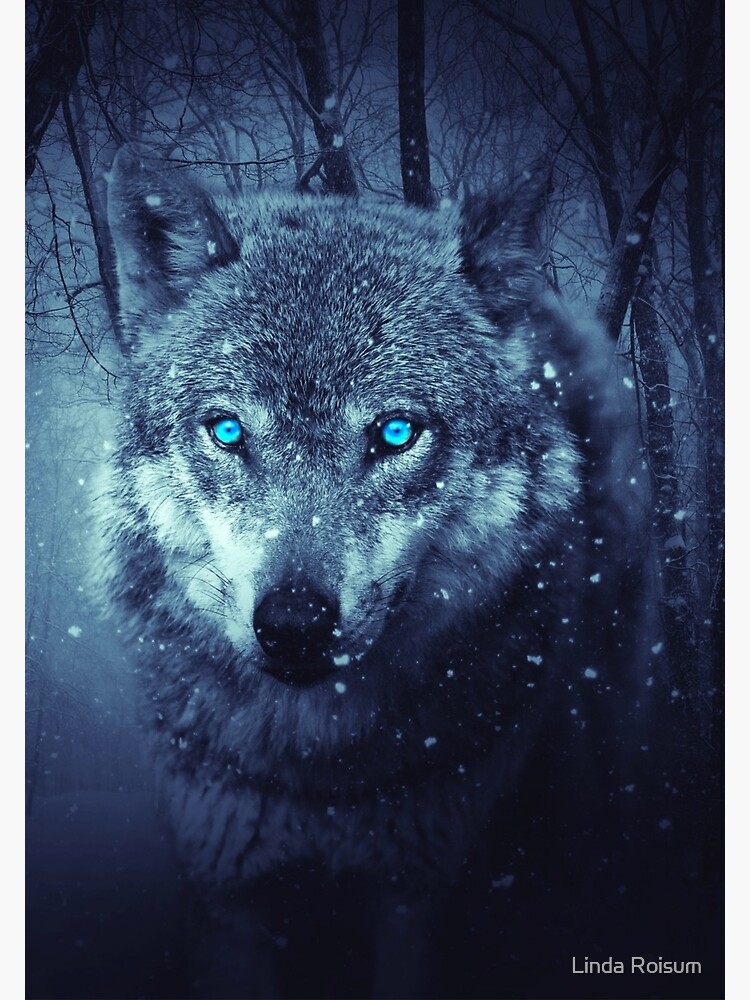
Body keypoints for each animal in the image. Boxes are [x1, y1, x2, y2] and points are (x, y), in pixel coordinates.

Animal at [97, 145, 647, 998]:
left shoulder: (419, 893)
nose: (293, 624)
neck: (321, 775)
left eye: (394, 433)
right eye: (228, 431)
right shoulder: (229, 895)